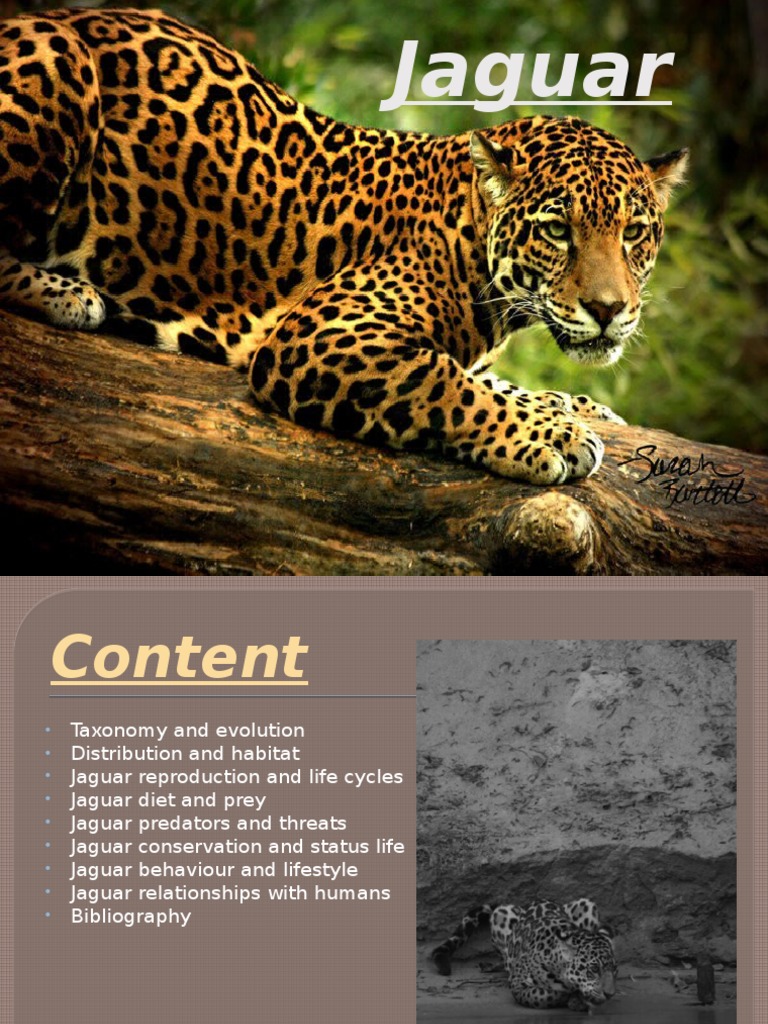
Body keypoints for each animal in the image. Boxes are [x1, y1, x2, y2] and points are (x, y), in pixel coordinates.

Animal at [0, 7, 688, 485]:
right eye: (556, 230)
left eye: (633, 232)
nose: (608, 310)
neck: (466, 238)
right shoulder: (323, 334)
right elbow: (448, 383)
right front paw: (547, 435)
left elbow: (491, 380)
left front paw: (578, 408)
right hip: (60, 60)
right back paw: (68, 292)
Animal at [431, 898, 618, 1011]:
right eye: (594, 969)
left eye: (615, 970)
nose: (610, 994)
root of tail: (529, 903)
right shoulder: (518, 986)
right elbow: (543, 995)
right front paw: (574, 996)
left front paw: (579, 998)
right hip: (501, 914)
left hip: (586, 904)